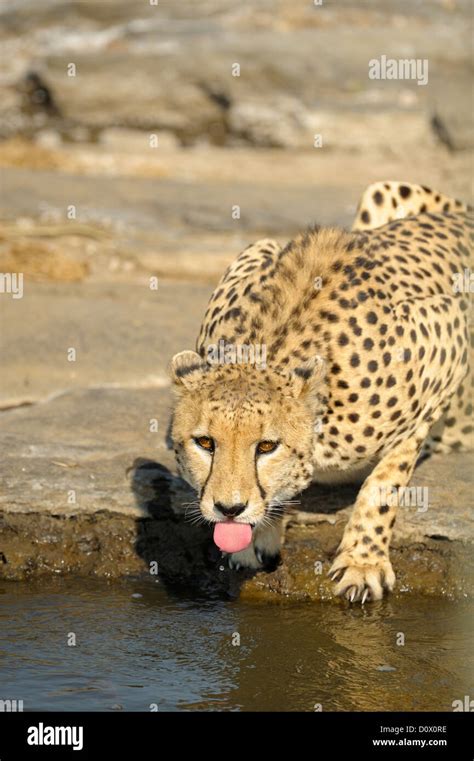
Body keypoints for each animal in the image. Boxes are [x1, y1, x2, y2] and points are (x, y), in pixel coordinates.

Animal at [168, 181, 472, 604]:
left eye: (267, 446)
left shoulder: (449, 338)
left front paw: (363, 561)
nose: (229, 509)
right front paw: (259, 535)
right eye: (205, 443)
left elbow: (386, 480)